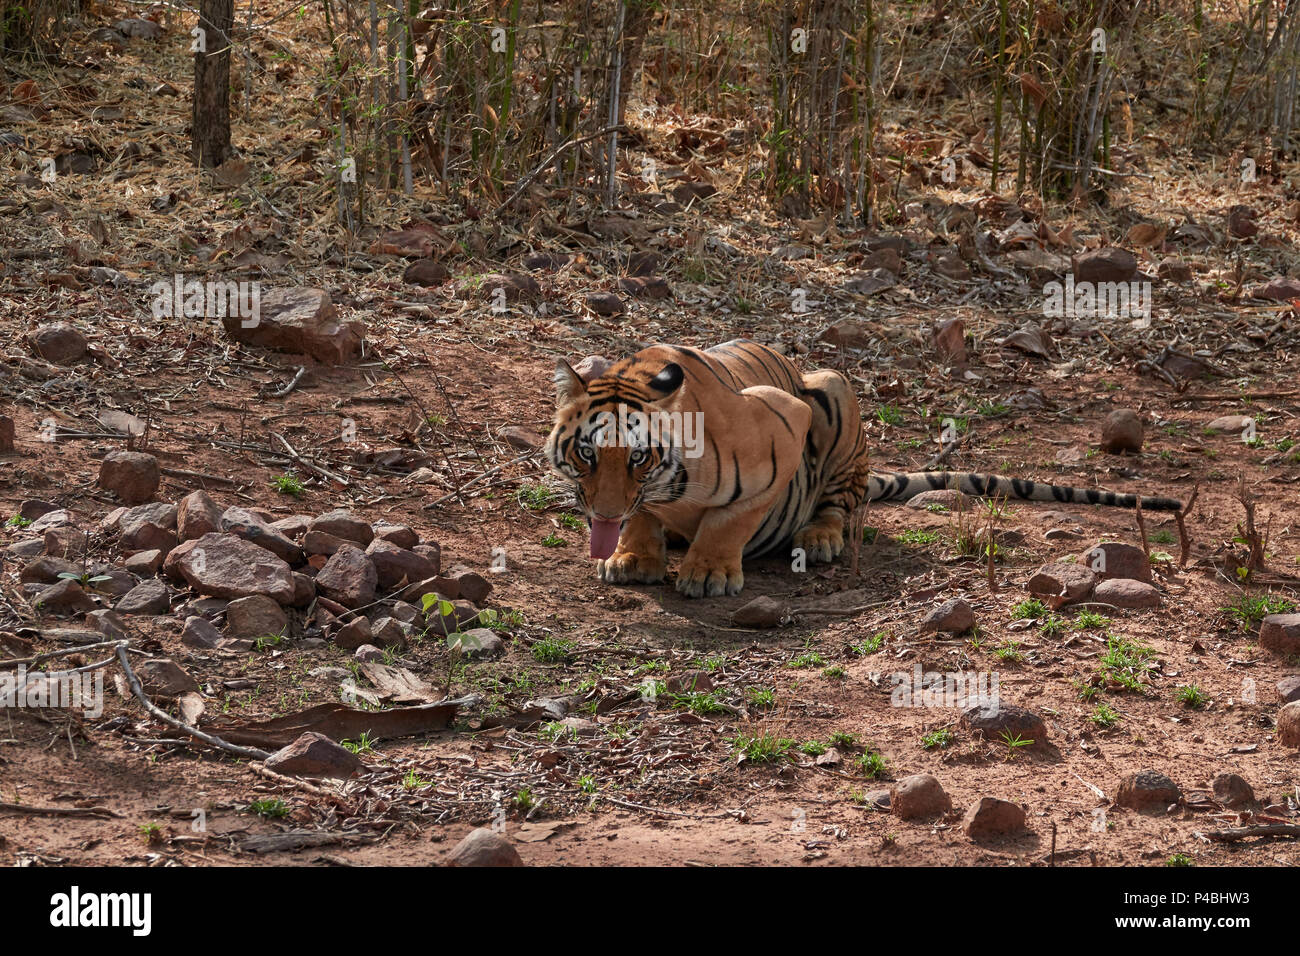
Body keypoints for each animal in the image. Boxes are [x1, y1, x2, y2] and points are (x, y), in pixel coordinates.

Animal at [544, 339, 1181, 598]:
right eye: (586, 454)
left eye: (638, 457)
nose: (602, 511)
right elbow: (642, 518)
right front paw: (631, 558)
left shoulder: (786, 422)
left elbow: (731, 519)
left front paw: (709, 573)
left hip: (833, 392)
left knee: (842, 503)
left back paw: (819, 538)